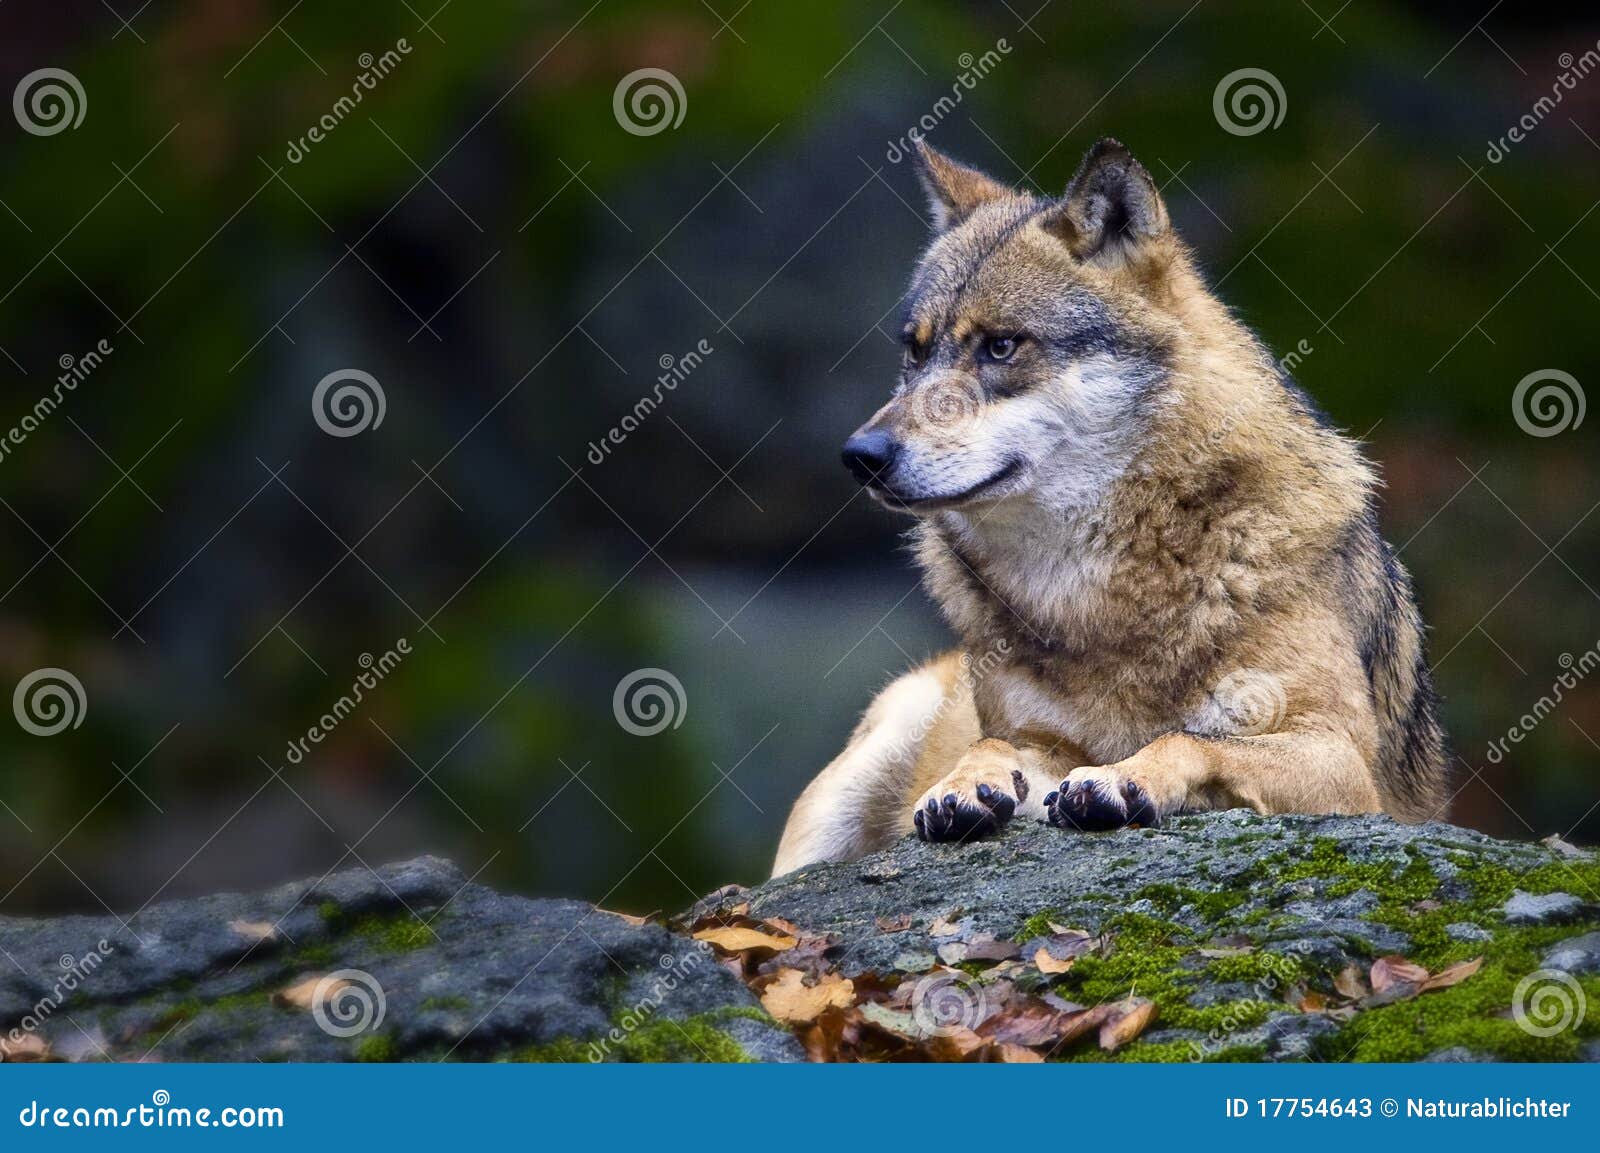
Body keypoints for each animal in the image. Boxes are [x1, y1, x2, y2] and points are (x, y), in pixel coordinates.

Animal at [772, 137, 1448, 876]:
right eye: (915, 353)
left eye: (1000, 346)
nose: (860, 454)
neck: (1099, 589)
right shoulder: (1037, 736)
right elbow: (994, 743)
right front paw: (962, 784)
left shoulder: (1341, 763)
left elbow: (1191, 740)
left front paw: (1124, 778)